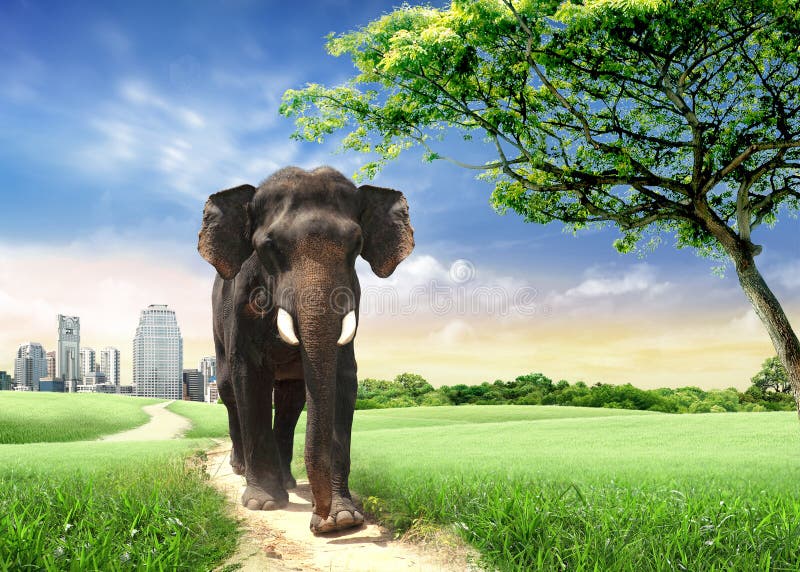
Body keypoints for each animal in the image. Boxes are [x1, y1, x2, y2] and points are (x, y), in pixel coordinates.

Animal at [197, 166, 414, 534]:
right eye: (269, 246)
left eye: (356, 244)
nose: (319, 523)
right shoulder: (241, 307)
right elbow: (249, 377)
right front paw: (263, 504)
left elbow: (342, 378)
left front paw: (343, 518)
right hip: (216, 323)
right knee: (228, 389)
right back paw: (242, 471)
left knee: (290, 400)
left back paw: (286, 481)